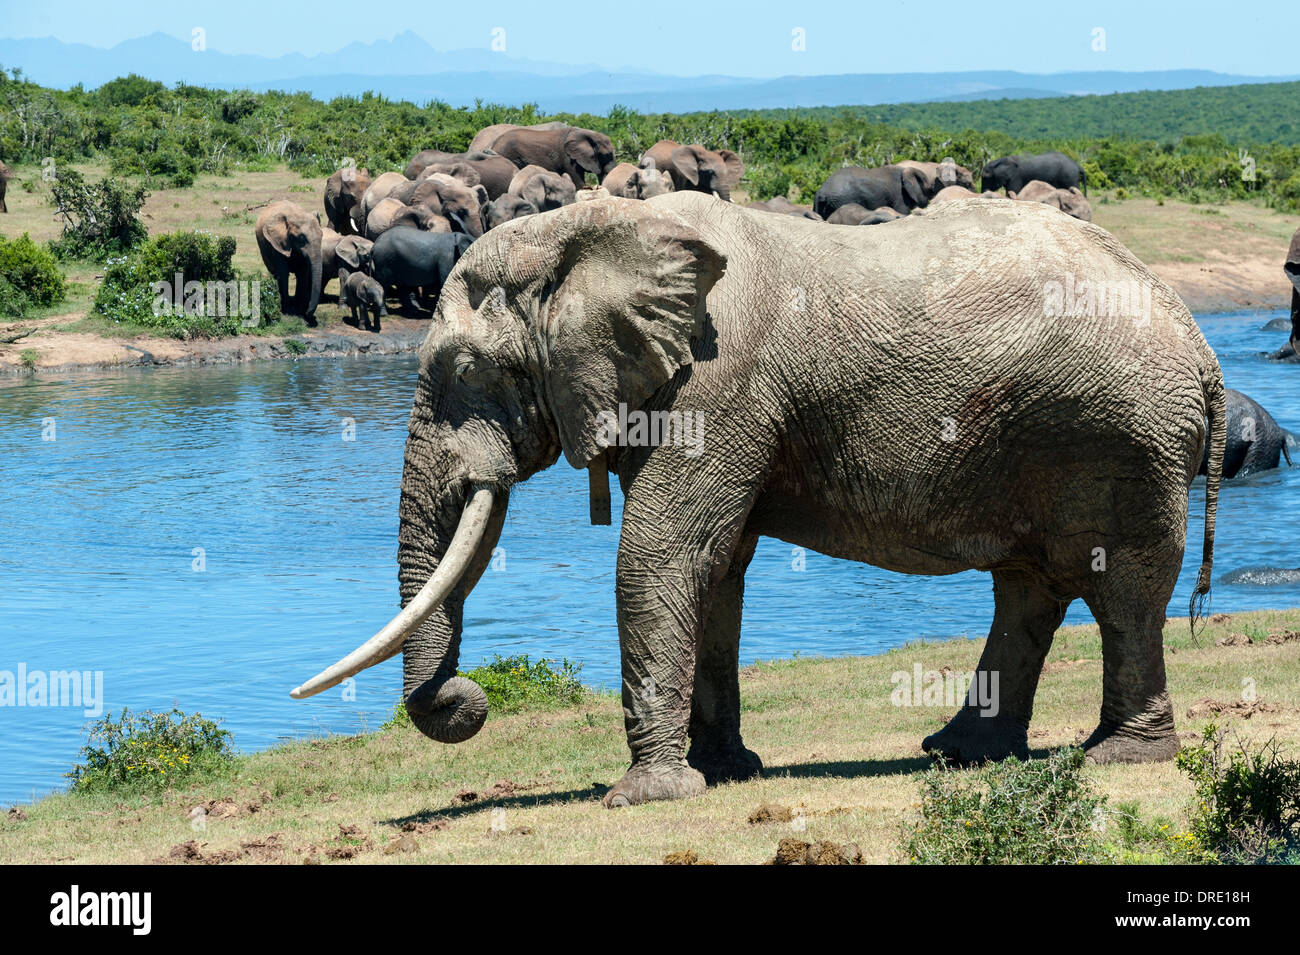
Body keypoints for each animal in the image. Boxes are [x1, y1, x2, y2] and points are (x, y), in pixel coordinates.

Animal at [290, 193, 1226, 809]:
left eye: (462, 370)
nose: (465, 697)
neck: (591, 231)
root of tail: (1201, 345)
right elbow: (717, 566)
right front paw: (723, 772)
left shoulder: (718, 382)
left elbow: (659, 555)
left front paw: (646, 797)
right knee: (1030, 587)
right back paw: (962, 751)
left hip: (1122, 435)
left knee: (1120, 587)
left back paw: (1119, 758)